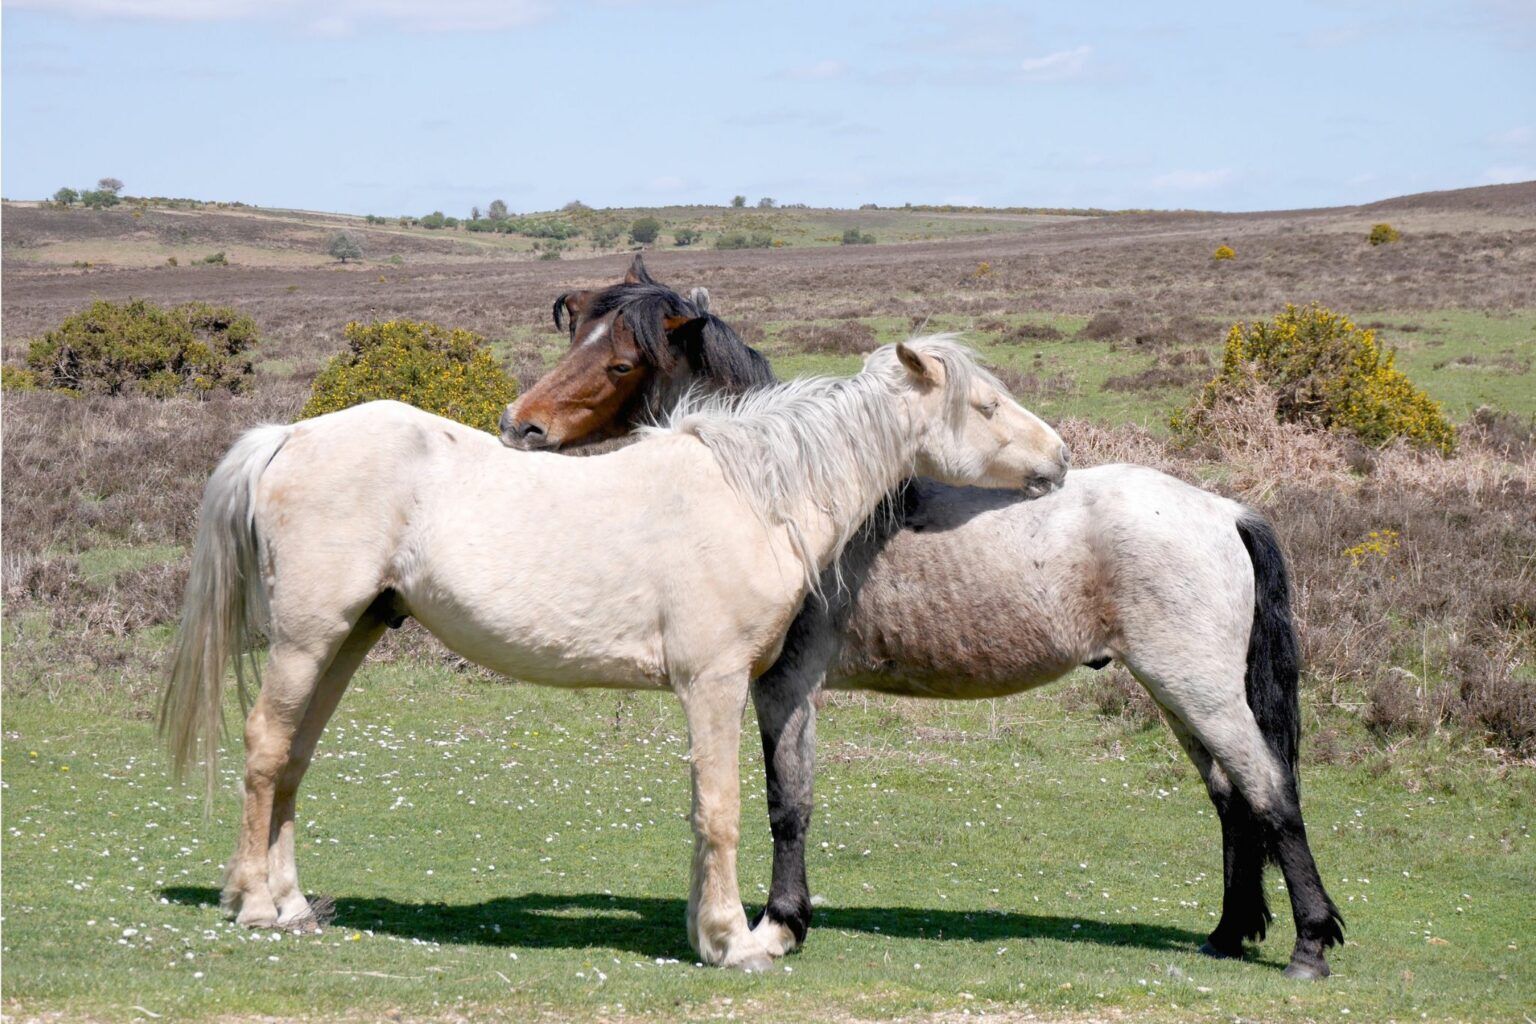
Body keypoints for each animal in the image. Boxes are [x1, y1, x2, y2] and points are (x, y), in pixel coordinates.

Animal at [161, 334, 1069, 971]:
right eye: (986, 405)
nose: (1061, 458)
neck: (754, 496)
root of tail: (290, 436)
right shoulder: (716, 683)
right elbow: (722, 810)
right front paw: (735, 942)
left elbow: (708, 810)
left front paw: (712, 931)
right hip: (308, 637)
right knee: (267, 747)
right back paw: (254, 905)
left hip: (346, 637)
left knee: (293, 760)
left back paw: (291, 905)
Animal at [500, 255, 1346, 980]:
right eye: (577, 336)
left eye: (621, 362)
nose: (519, 426)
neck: (785, 492)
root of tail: (1226, 511)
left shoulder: (783, 685)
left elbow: (787, 803)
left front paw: (780, 923)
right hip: (1178, 693)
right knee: (1234, 798)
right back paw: (1229, 933)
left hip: (1196, 686)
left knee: (1270, 792)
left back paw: (1309, 943)